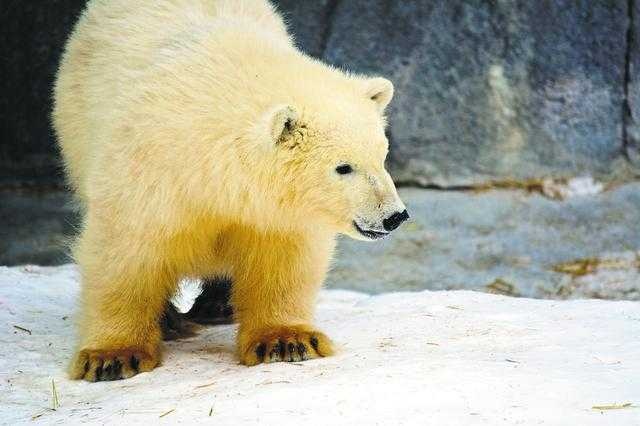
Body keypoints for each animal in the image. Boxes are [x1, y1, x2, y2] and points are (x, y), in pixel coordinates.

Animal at [53, 0, 408, 382]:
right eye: (343, 167)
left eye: (381, 156)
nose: (394, 216)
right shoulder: (148, 171)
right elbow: (126, 250)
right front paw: (112, 357)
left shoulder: (274, 210)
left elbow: (283, 255)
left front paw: (288, 340)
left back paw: (217, 304)